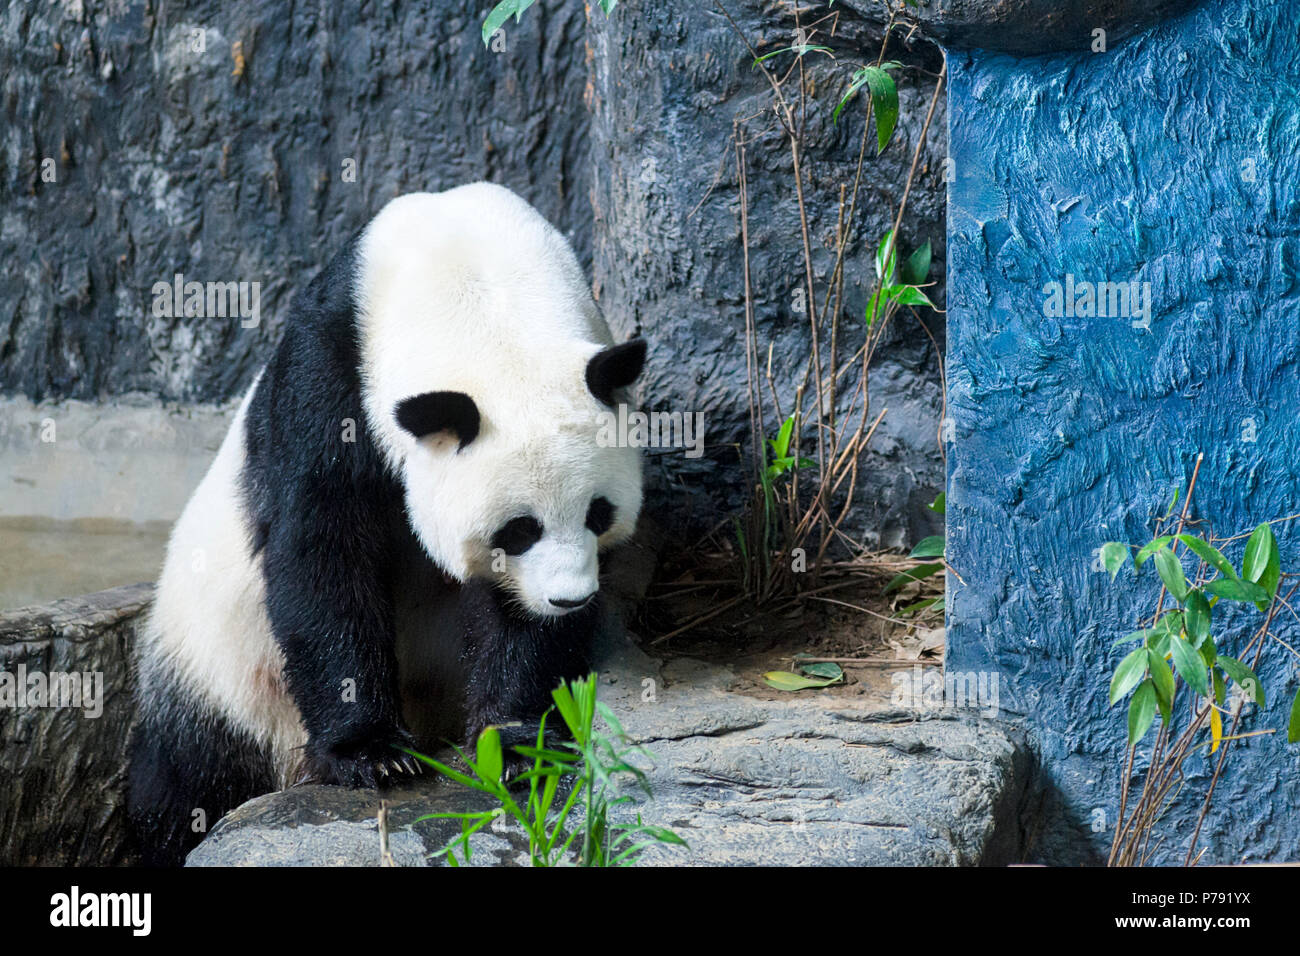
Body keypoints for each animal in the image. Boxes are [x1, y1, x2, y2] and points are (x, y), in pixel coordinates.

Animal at [127, 182, 647, 866]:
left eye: (598, 513)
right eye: (518, 530)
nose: (568, 599)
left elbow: (513, 617)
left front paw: (514, 741)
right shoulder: (331, 370)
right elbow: (322, 548)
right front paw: (375, 756)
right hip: (219, 667)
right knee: (186, 776)